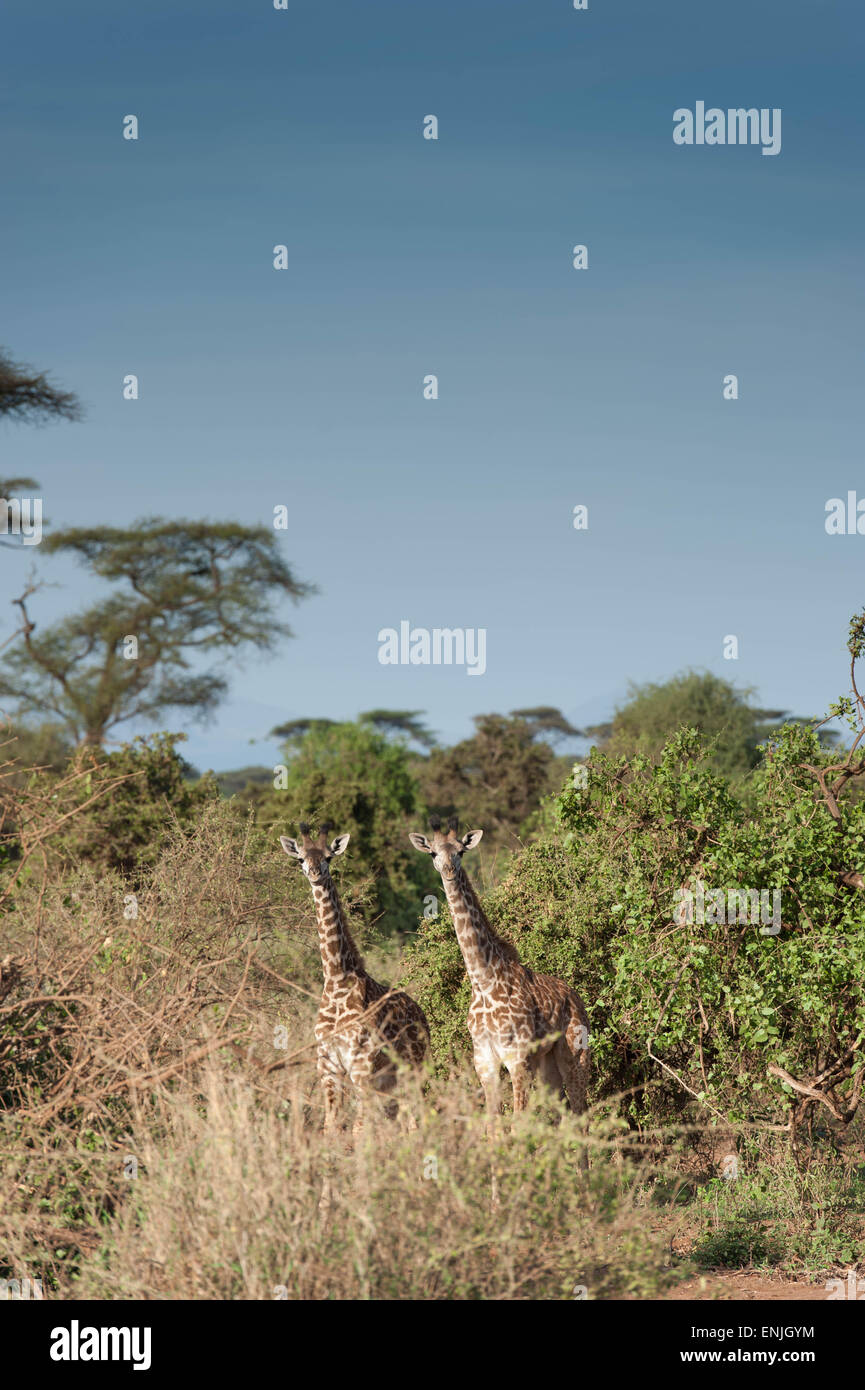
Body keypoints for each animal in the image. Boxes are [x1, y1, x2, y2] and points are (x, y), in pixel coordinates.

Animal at [280, 822, 429, 1130]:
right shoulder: (327, 1065)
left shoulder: (361, 1064)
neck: (337, 980)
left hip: (413, 1071)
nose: (315, 874)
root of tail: (422, 1014)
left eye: (328, 857)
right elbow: (331, 1125)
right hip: (391, 1081)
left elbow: (359, 1130)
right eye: (301, 858)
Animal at [409, 815, 590, 1138]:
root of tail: (576, 997)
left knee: (581, 1116)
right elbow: (493, 1128)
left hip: (574, 1054)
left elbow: (517, 1125)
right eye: (432, 853)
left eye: (461, 851)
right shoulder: (484, 1060)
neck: (483, 980)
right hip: (546, 1063)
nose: (449, 872)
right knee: (563, 1114)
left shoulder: (517, 1057)